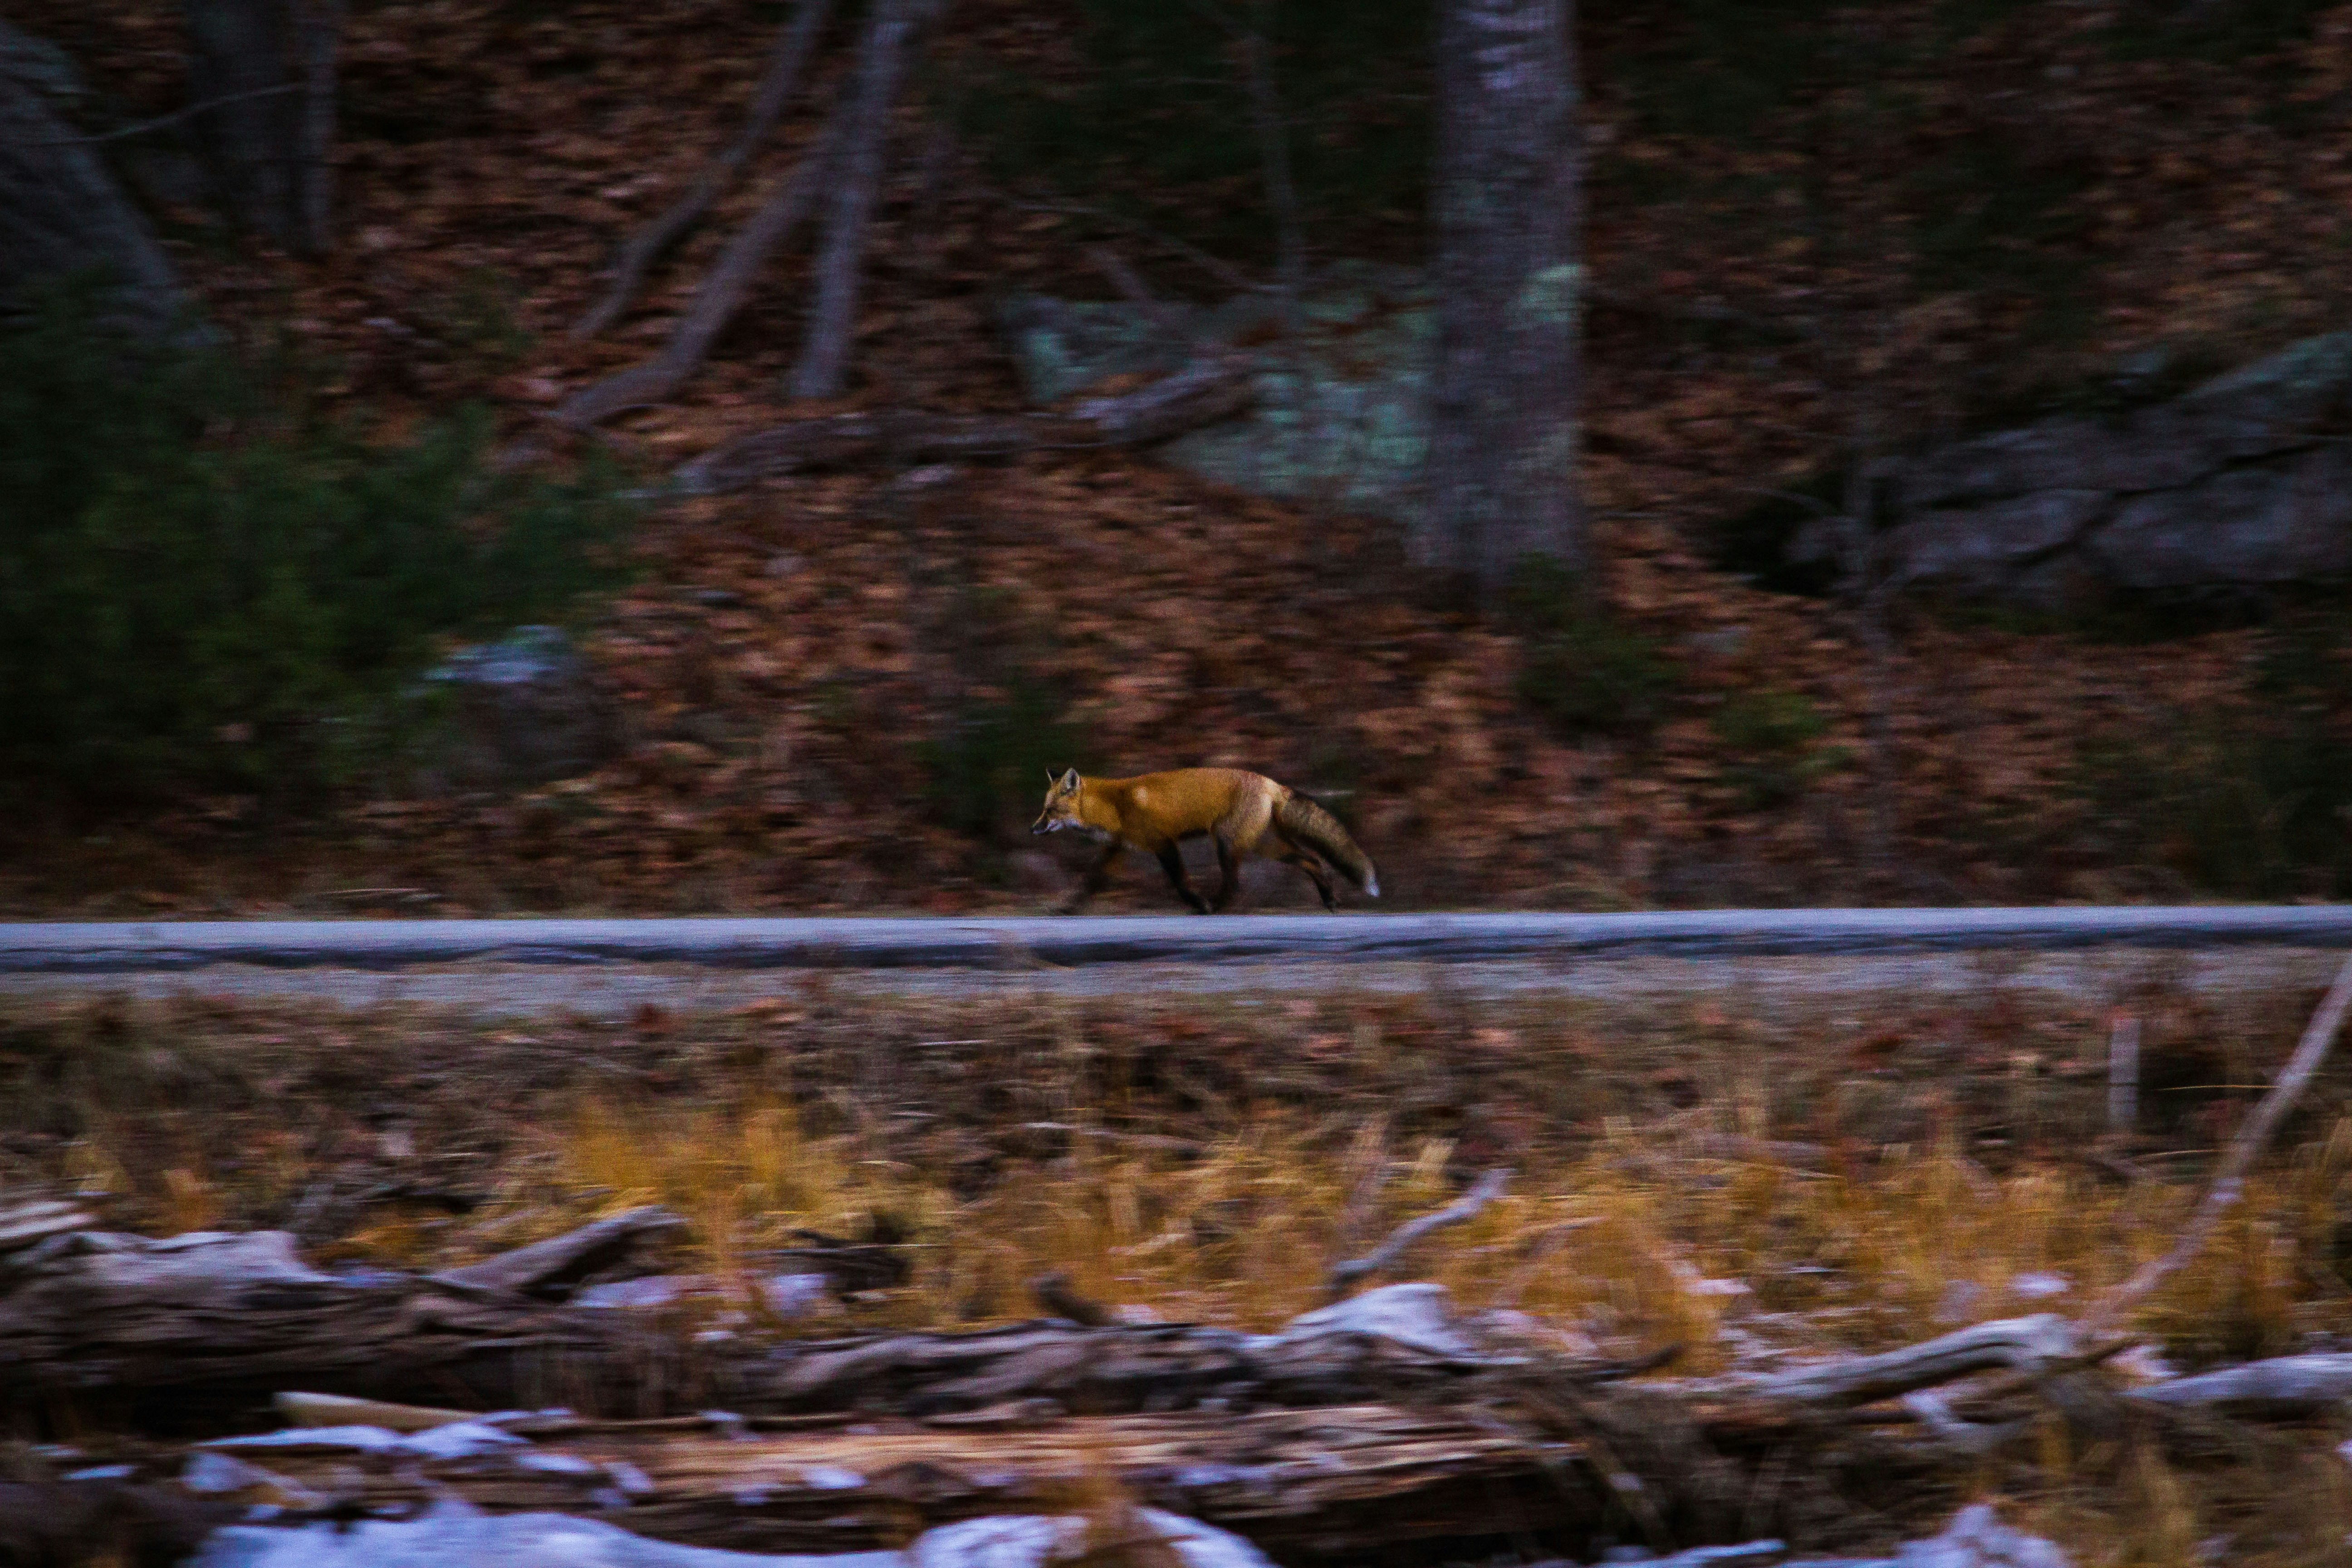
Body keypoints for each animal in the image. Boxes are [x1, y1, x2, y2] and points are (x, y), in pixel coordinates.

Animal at [1031, 766, 1379, 915]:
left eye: (1050, 811)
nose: (1033, 829)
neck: (1115, 806)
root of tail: (1270, 782)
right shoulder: (1117, 850)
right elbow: (1089, 882)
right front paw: (1065, 908)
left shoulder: (1163, 843)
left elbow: (1181, 883)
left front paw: (1199, 904)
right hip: (1265, 846)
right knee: (1313, 859)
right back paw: (1329, 899)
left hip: (1227, 843)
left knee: (1236, 883)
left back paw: (1217, 907)